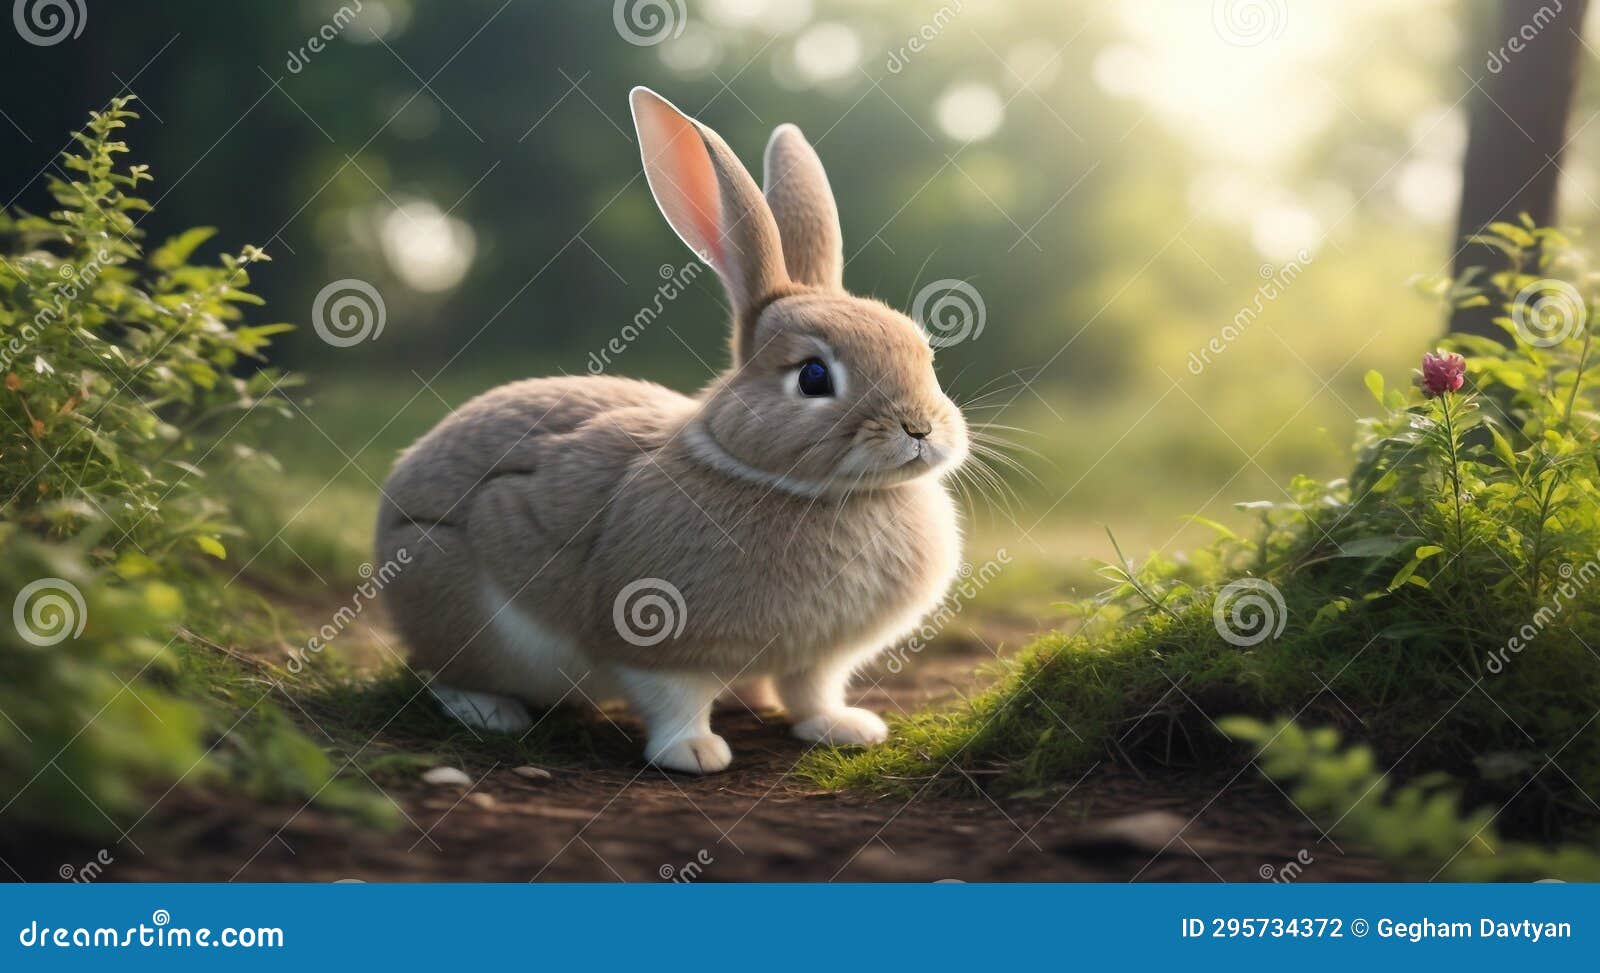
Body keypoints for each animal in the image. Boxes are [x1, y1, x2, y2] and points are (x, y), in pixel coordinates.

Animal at [374, 87, 969, 774]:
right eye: (814, 376)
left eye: (926, 355)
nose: (920, 428)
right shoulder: (653, 641)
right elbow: (673, 698)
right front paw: (694, 753)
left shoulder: (819, 658)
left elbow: (812, 690)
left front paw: (846, 728)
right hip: (454, 601)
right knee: (440, 671)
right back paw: (489, 711)